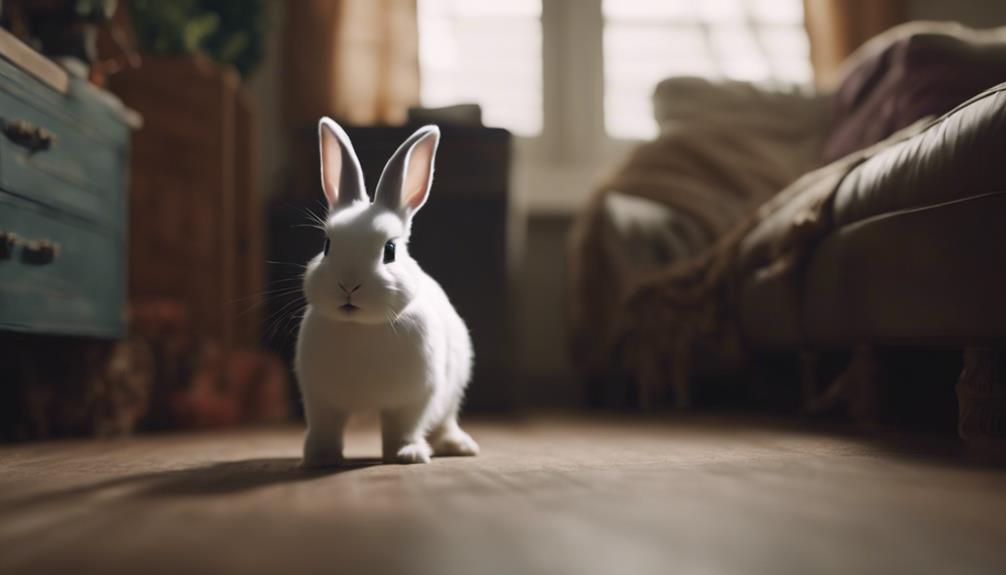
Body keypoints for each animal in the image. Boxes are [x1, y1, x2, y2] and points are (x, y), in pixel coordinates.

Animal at [295, 117, 479, 466]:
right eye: (327, 246)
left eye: (390, 250)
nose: (348, 285)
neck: (360, 327)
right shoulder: (322, 400)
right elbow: (325, 428)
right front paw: (319, 457)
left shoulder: (412, 398)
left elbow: (403, 427)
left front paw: (407, 455)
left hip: (453, 390)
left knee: (444, 422)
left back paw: (460, 447)